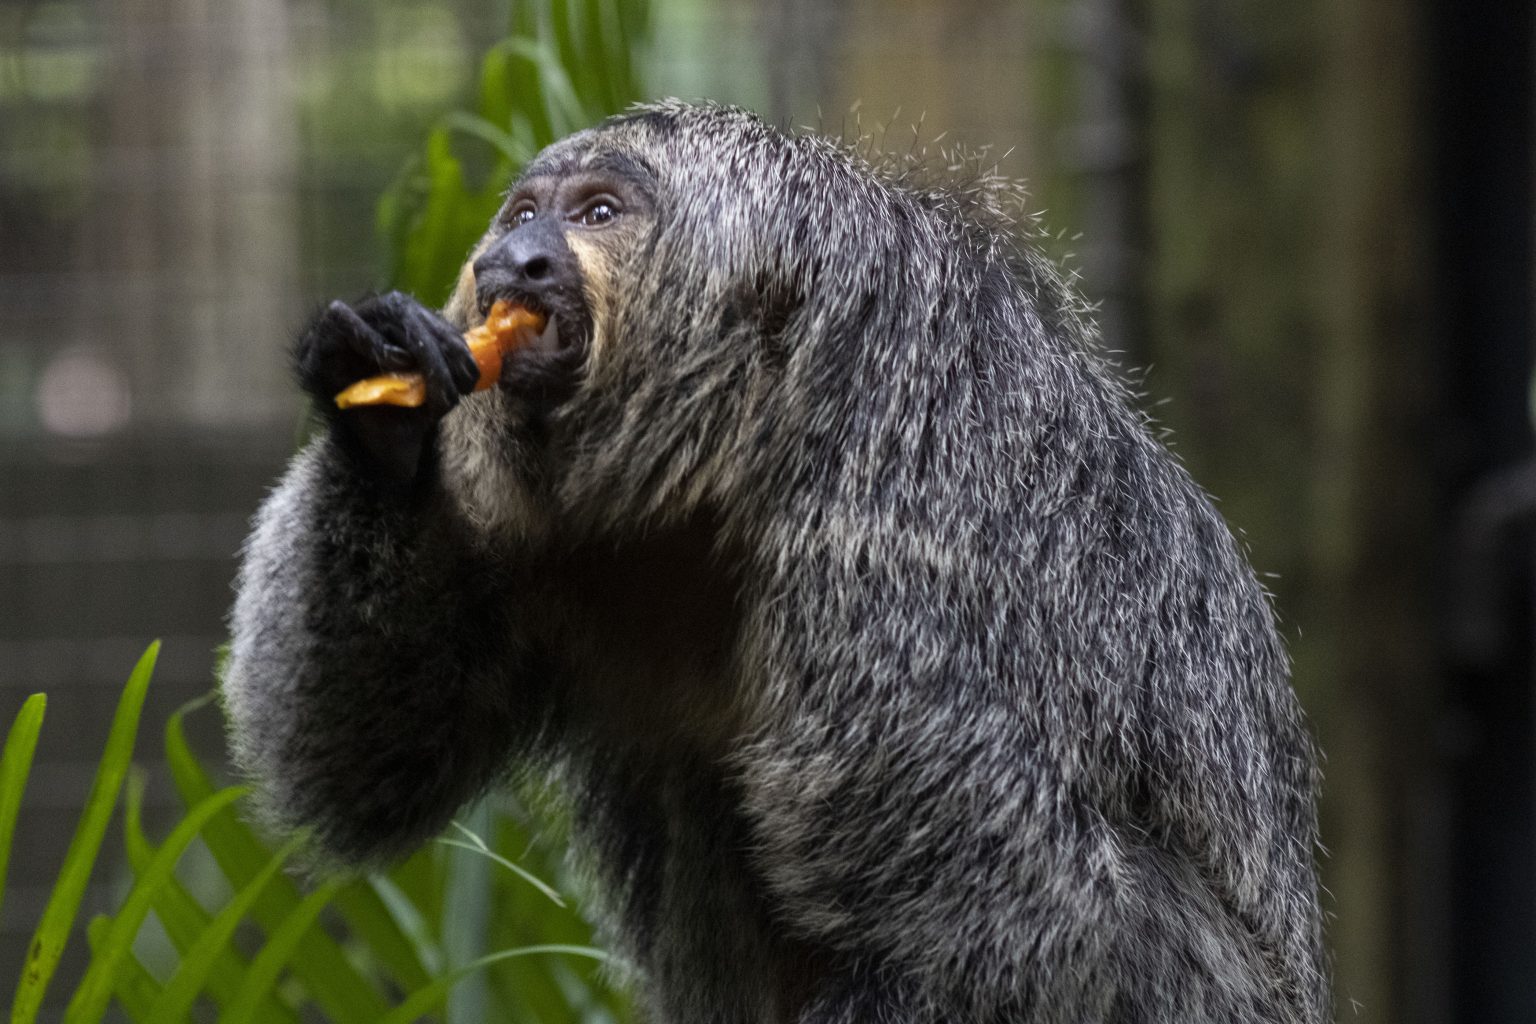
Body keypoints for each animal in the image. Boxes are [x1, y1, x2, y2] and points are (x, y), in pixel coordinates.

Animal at [222, 101, 1330, 1023]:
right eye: (521, 214)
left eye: (595, 213)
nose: (514, 262)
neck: (740, 442)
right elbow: (368, 755)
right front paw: (380, 412)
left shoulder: (906, 473)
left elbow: (1006, 892)